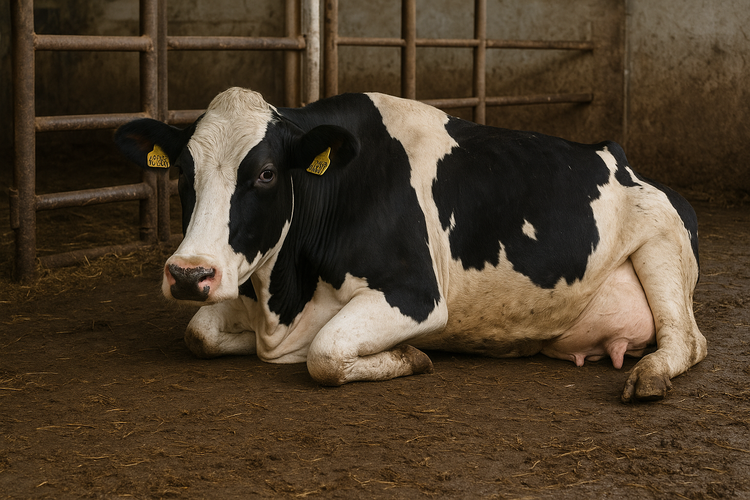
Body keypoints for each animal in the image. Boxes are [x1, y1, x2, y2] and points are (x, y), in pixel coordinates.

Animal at [115, 87, 706, 403]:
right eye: (183, 173)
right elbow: (199, 335)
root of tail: (619, 155)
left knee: (687, 341)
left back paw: (651, 375)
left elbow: (325, 353)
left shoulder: (416, 294)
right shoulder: (245, 288)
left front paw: (411, 357)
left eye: (264, 173)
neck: (283, 297)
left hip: (661, 244)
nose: (189, 274)